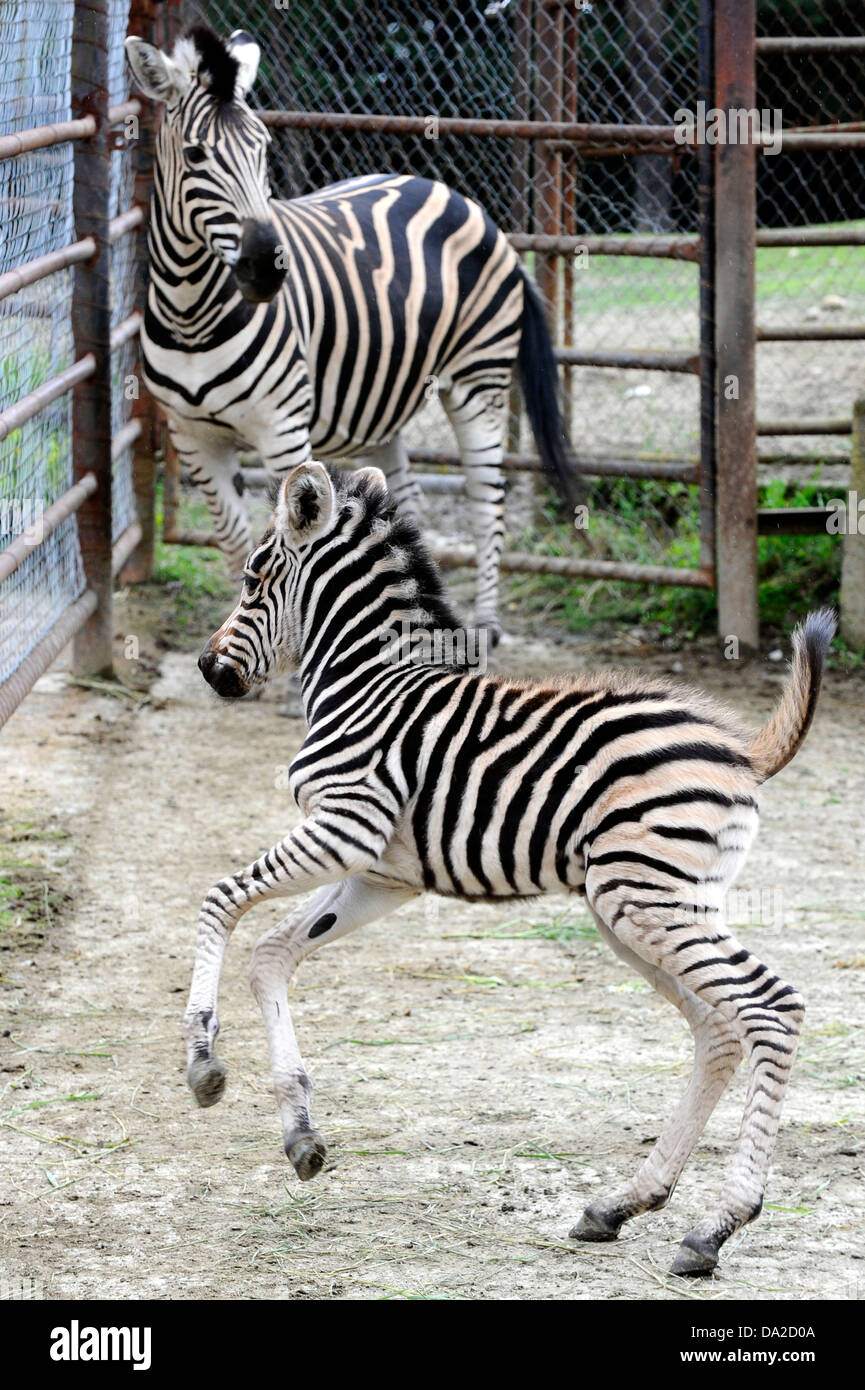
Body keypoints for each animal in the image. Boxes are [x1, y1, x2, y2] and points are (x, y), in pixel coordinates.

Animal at [124, 25, 577, 641]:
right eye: (196, 155)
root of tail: (457, 196)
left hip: (479, 379)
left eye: (263, 147)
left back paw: (485, 622)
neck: (193, 314)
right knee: (404, 502)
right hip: (386, 402)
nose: (268, 267)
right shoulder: (191, 436)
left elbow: (292, 545)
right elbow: (235, 543)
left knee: (488, 503)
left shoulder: (282, 429)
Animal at [187, 462, 834, 1276]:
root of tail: (743, 749)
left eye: (251, 577)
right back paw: (622, 1204)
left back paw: (714, 1227)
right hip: (641, 906)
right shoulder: (384, 872)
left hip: (646, 898)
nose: (209, 670)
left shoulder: (345, 825)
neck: (367, 686)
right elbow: (271, 955)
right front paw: (299, 1130)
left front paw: (202, 1062)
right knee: (718, 1028)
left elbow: (219, 900)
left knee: (771, 1007)